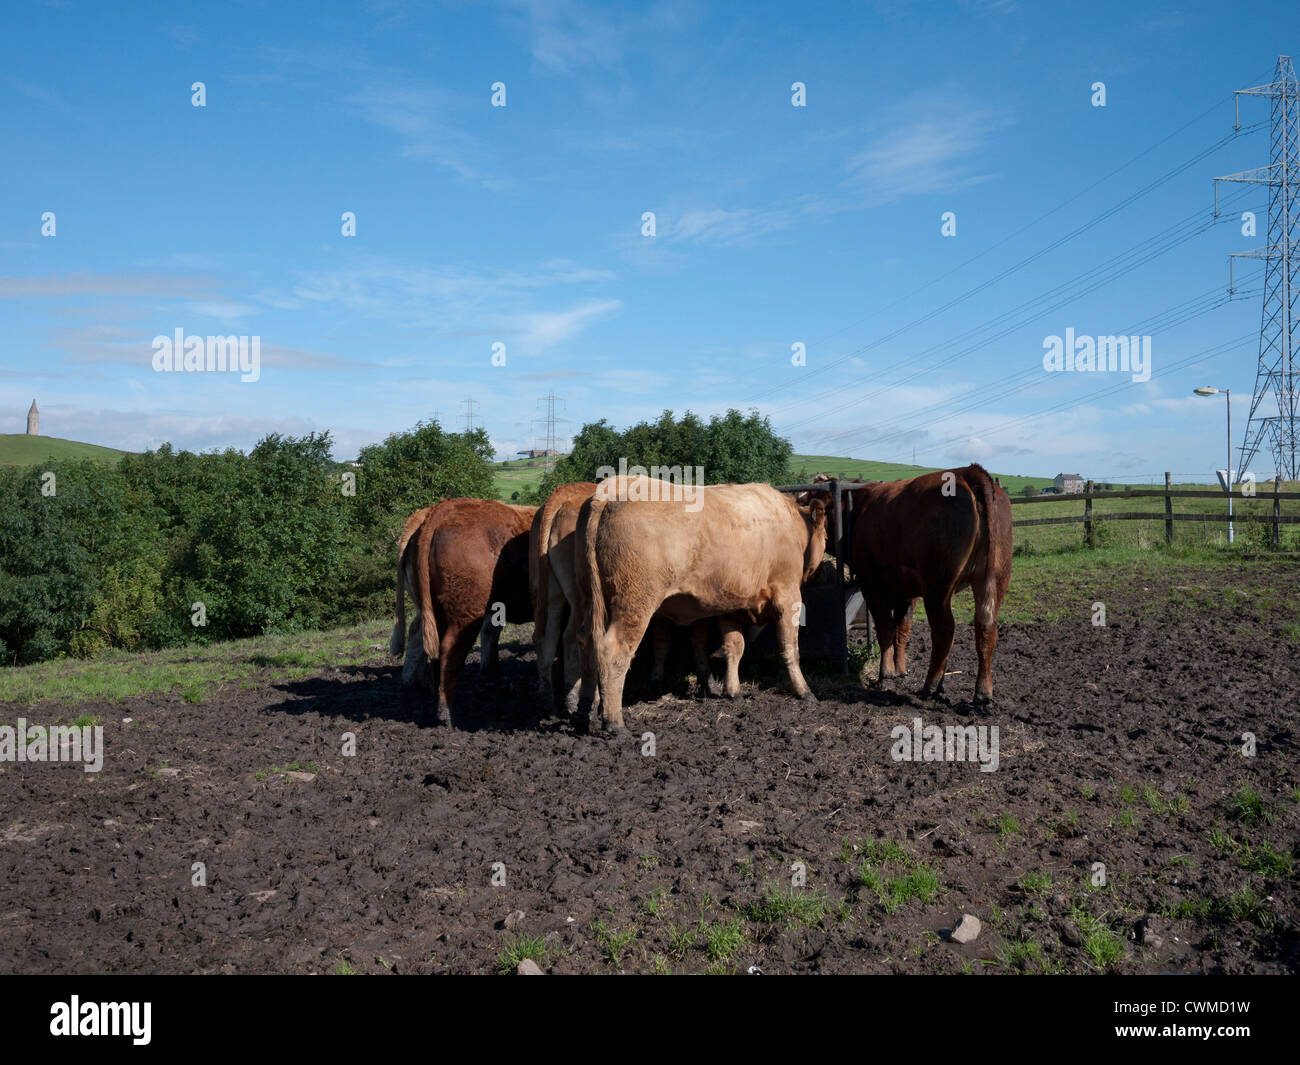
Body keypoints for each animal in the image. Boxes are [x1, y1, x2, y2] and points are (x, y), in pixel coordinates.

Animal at [576, 479, 828, 733]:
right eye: (826, 536)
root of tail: (612, 489)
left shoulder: (730, 605)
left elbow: (734, 646)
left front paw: (733, 691)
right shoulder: (788, 596)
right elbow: (790, 648)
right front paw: (804, 691)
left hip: (591, 601)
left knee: (589, 646)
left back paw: (586, 711)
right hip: (635, 602)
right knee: (614, 652)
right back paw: (614, 722)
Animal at [848, 463, 1012, 705]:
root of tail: (969, 472)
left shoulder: (872, 585)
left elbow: (885, 628)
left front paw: (886, 674)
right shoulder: (906, 591)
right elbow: (902, 628)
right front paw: (900, 669)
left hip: (938, 586)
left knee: (944, 629)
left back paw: (930, 685)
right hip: (994, 577)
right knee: (986, 627)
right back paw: (982, 693)